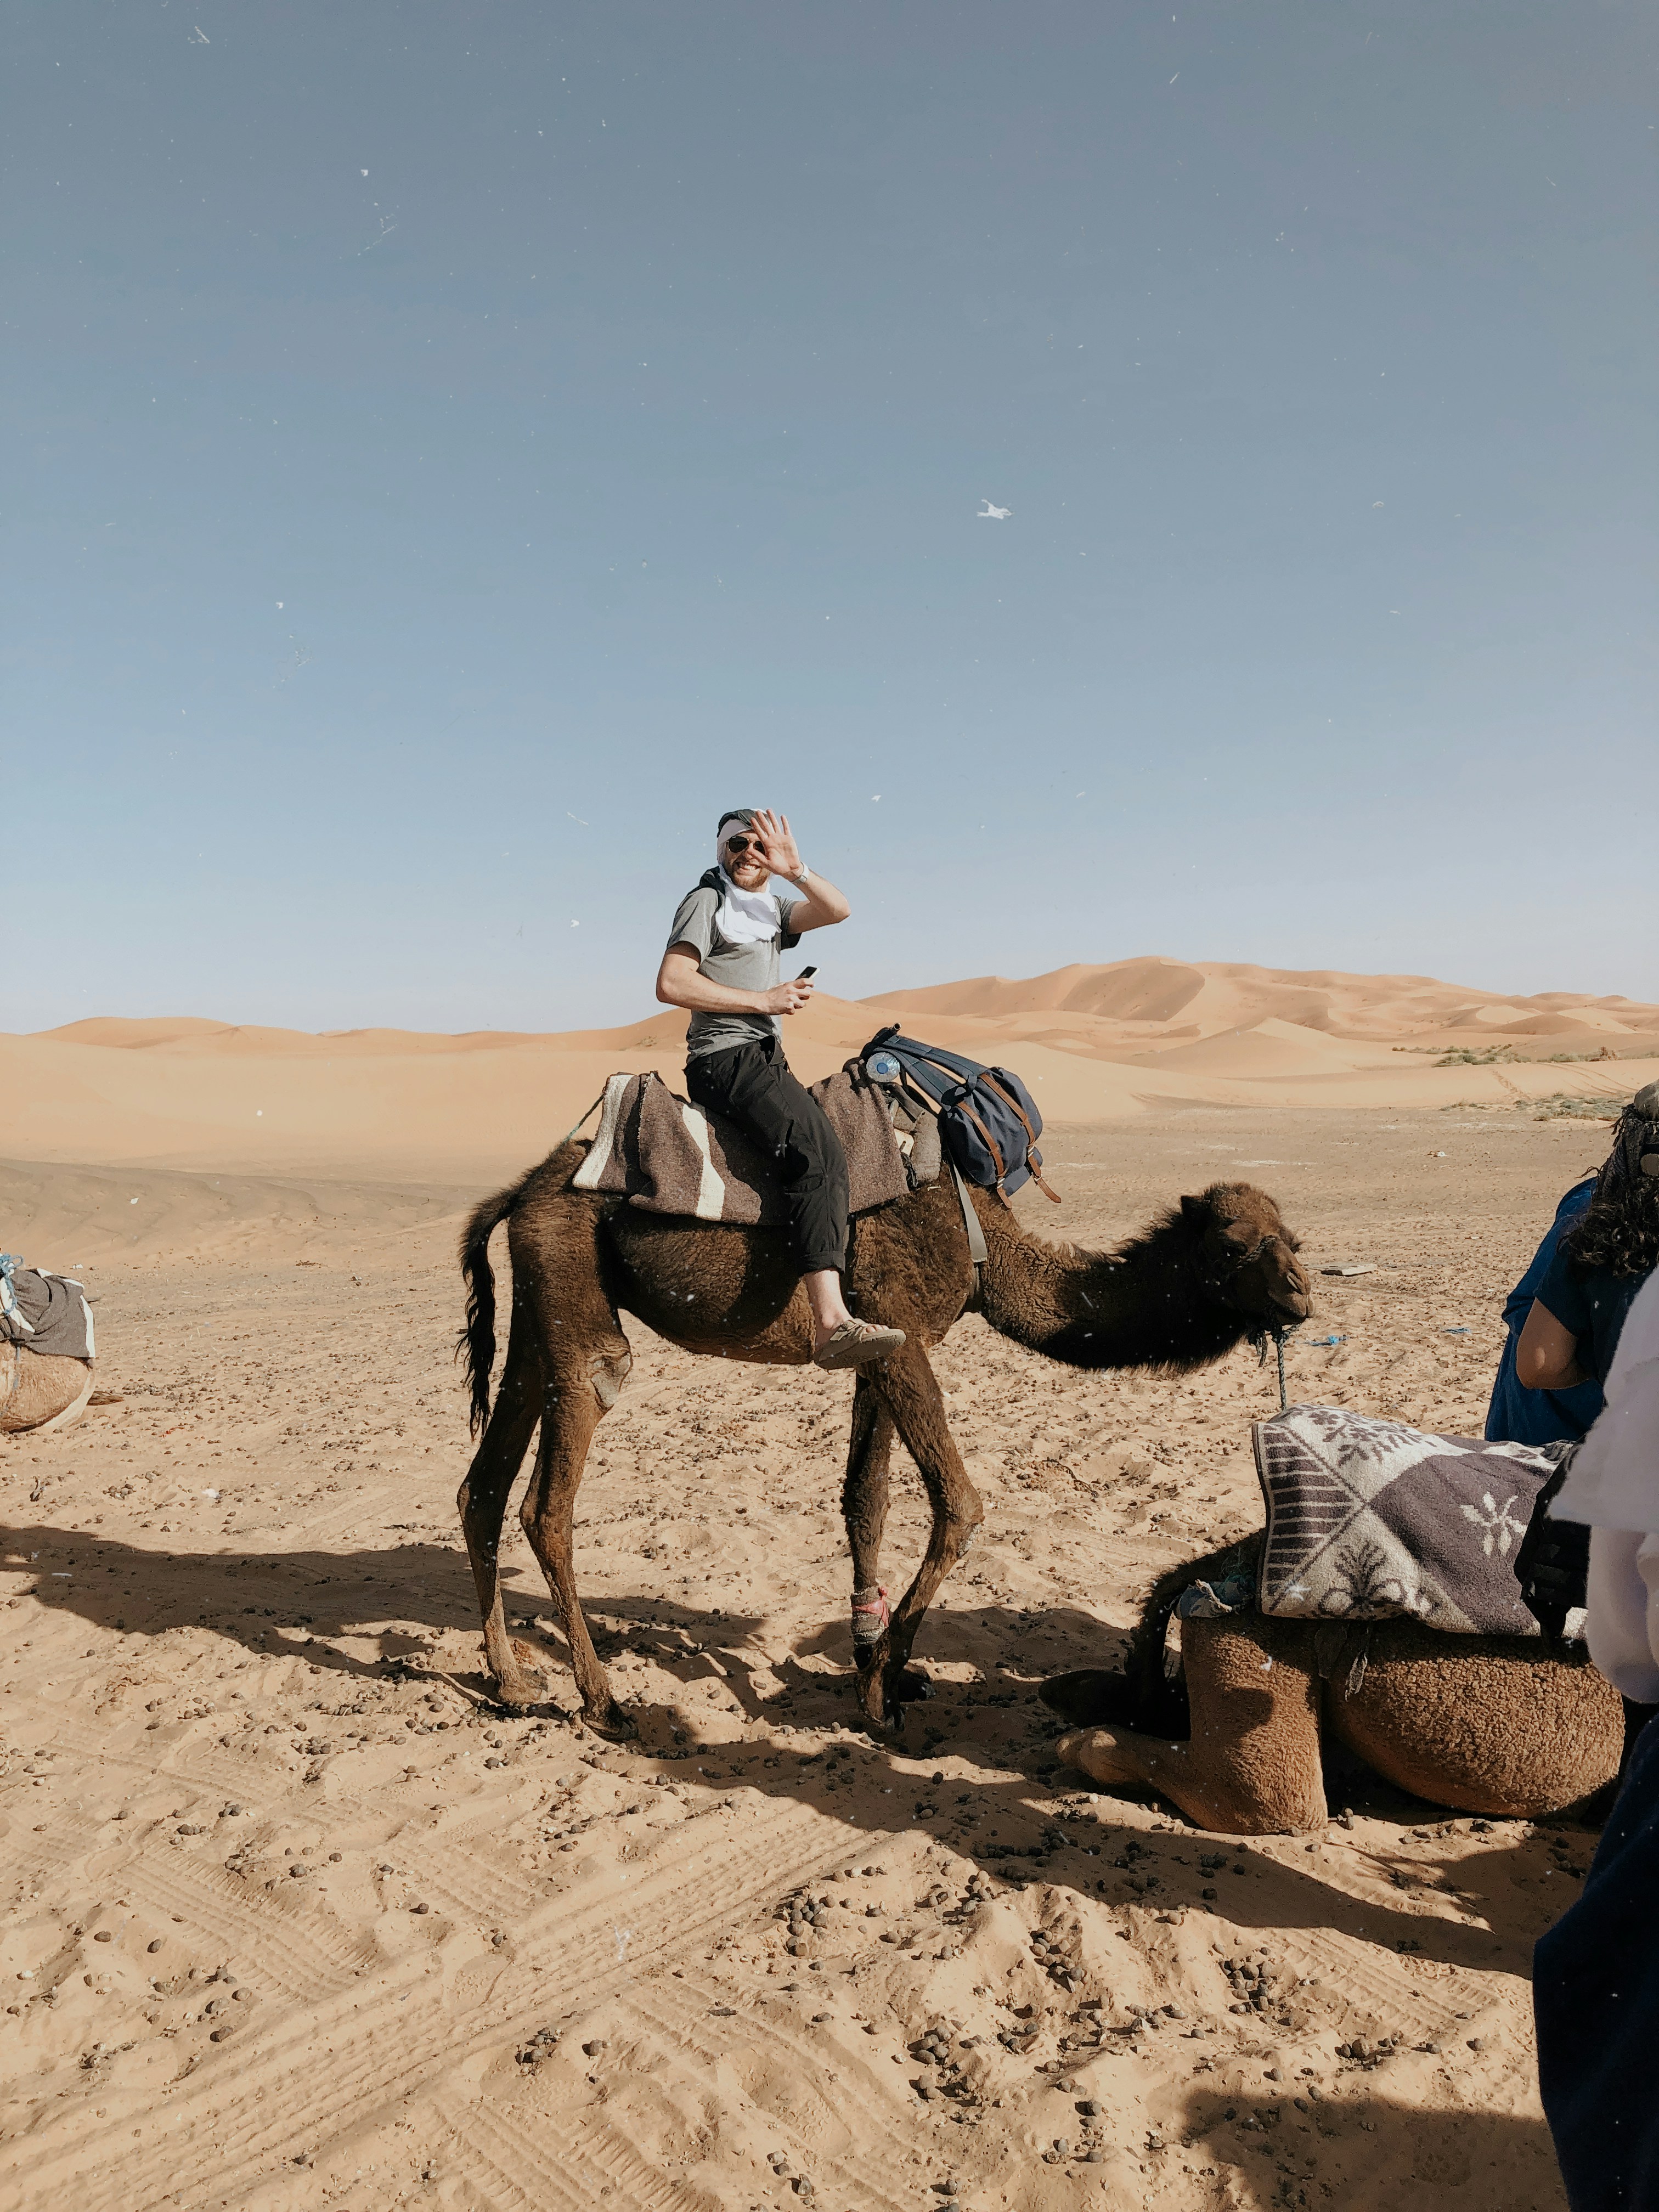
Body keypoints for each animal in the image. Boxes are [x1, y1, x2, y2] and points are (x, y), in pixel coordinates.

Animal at [456, 1138, 1311, 1734]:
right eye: (1231, 1246)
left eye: (1293, 1239)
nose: (1300, 1298)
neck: (984, 1251)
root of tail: (522, 1190)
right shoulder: (902, 1331)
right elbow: (960, 1505)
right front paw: (880, 1694)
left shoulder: (872, 1345)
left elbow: (865, 1499)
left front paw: (874, 1665)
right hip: (575, 1293)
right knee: (551, 1493)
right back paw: (603, 1702)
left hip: (540, 1307)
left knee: (483, 1488)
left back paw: (513, 1681)